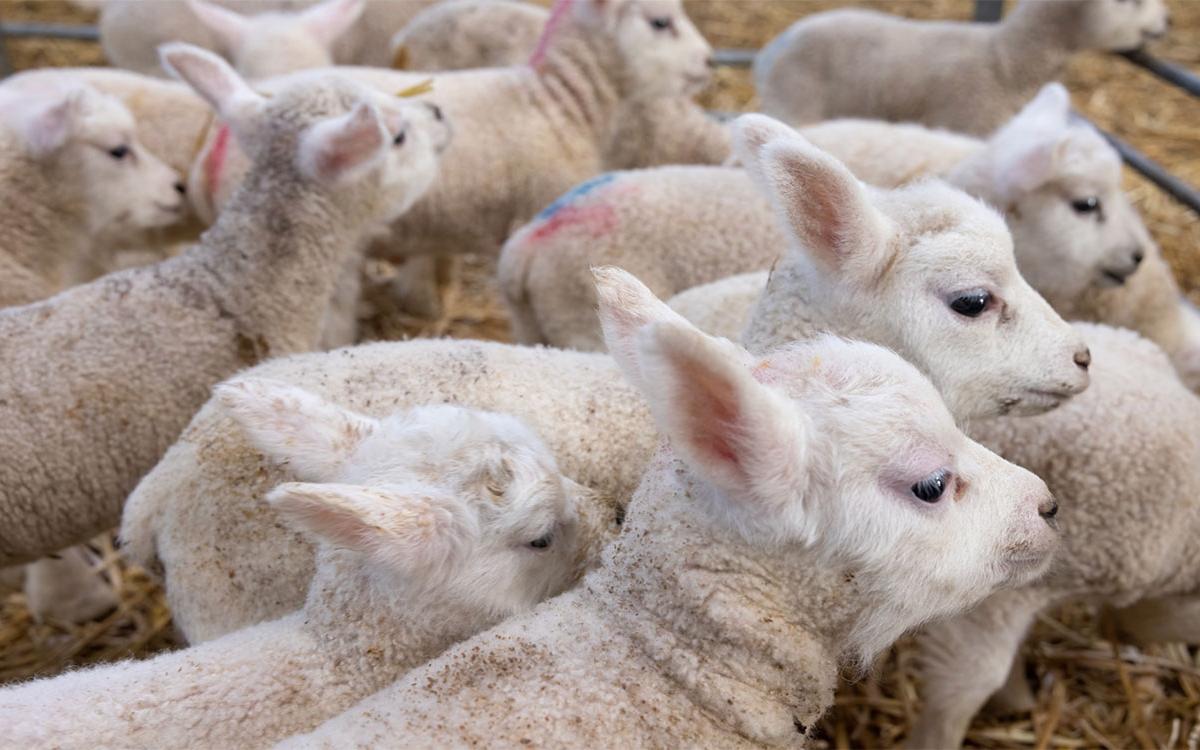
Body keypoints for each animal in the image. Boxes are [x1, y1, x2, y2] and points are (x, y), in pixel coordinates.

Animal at [754, 0, 1170, 136]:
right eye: (1127, 0)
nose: (1168, 21)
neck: (1006, 61)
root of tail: (770, 51)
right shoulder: (966, 121)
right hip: (793, 101)